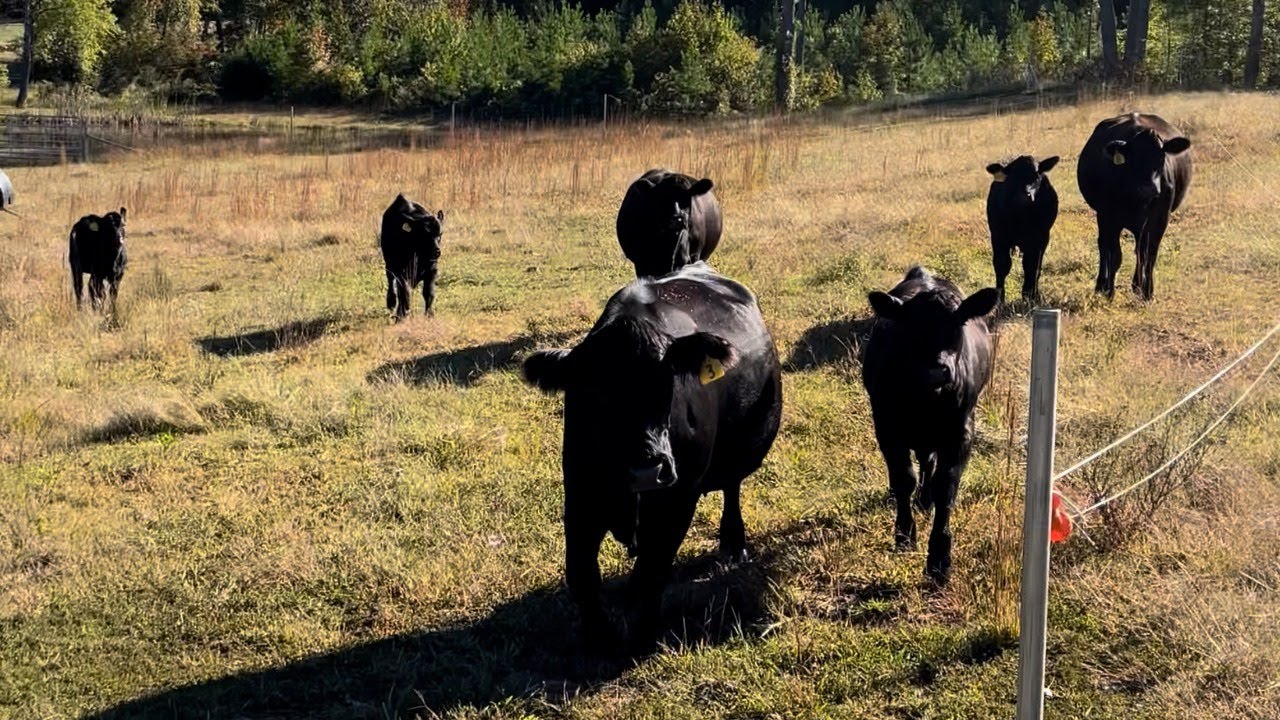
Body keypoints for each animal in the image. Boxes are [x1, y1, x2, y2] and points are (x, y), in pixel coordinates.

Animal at [522, 262, 782, 652]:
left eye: (667, 383)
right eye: (594, 393)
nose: (645, 471)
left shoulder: (678, 497)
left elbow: (653, 570)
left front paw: (643, 637)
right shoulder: (581, 494)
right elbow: (582, 574)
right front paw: (599, 637)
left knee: (731, 488)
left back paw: (733, 544)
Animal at [862, 266, 998, 584]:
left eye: (958, 323)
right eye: (911, 327)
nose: (936, 370)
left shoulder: (961, 433)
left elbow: (945, 486)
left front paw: (939, 558)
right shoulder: (887, 429)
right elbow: (903, 479)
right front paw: (904, 535)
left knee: (929, 462)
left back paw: (925, 501)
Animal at [985, 154, 1059, 302]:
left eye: (1037, 177)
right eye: (1012, 178)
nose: (1026, 194)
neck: (1020, 217)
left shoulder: (1040, 238)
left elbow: (1032, 266)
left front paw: (1030, 295)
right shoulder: (998, 236)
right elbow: (1001, 265)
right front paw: (1000, 297)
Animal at [1076, 113, 1192, 300]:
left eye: (1161, 158)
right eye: (1133, 160)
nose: (1149, 188)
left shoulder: (1160, 218)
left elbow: (1150, 253)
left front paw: (1147, 292)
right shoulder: (1109, 216)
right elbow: (1114, 254)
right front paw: (1109, 292)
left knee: (1140, 249)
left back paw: (1137, 285)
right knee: (1104, 246)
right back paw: (1101, 285)